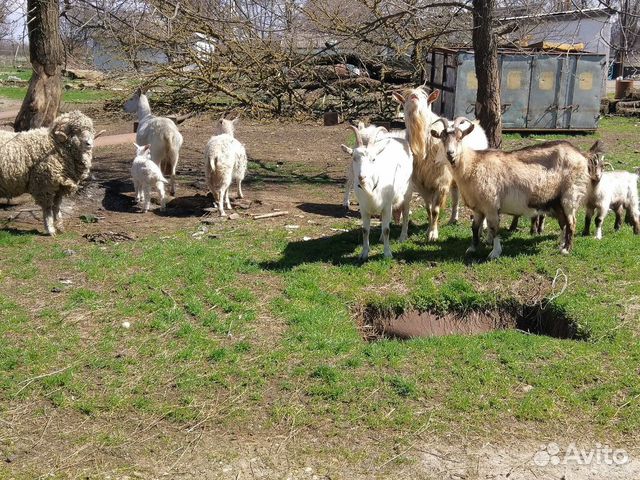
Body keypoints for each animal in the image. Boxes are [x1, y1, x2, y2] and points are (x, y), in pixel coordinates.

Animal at [431, 117, 597, 259]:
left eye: (460, 137)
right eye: (443, 138)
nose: (450, 154)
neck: (473, 165)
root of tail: (581, 155)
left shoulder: (491, 205)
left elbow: (494, 228)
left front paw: (495, 252)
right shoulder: (478, 208)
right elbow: (474, 227)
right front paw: (471, 248)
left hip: (570, 195)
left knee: (572, 222)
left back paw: (566, 249)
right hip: (556, 200)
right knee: (564, 223)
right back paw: (561, 245)